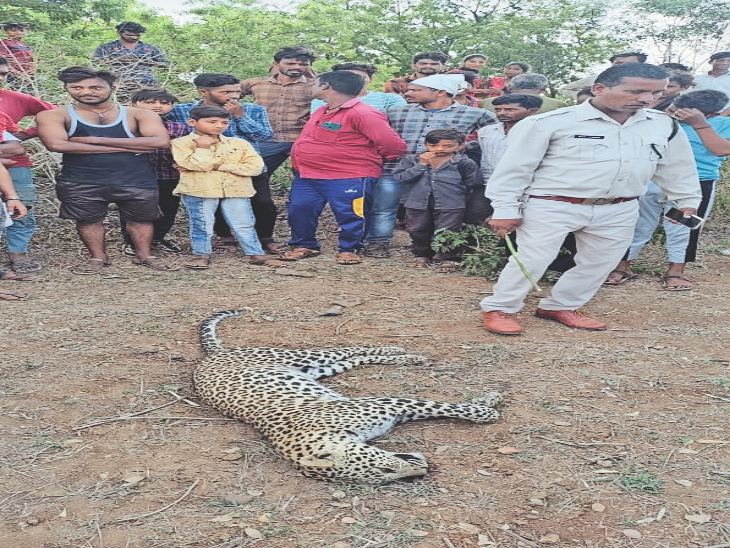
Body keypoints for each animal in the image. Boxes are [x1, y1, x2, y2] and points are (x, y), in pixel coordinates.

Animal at [193, 309, 502, 484]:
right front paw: (487, 403)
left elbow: (447, 406)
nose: (424, 471)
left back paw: (401, 350)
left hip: (300, 356)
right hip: (317, 369)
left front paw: (488, 408)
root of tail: (212, 355)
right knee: (357, 358)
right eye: (383, 478)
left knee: (352, 348)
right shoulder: (394, 410)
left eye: (383, 470)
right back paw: (406, 356)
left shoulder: (387, 402)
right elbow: (440, 407)